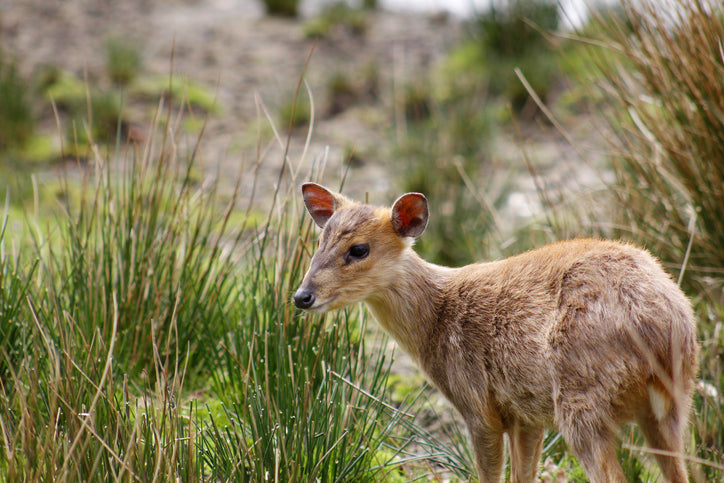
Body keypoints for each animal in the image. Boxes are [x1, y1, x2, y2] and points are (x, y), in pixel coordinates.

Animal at [293, 182, 699, 483]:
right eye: (319, 241)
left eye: (359, 249)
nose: (302, 296)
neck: (436, 320)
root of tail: (661, 323)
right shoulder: (527, 415)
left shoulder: (476, 404)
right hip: (673, 403)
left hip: (582, 398)